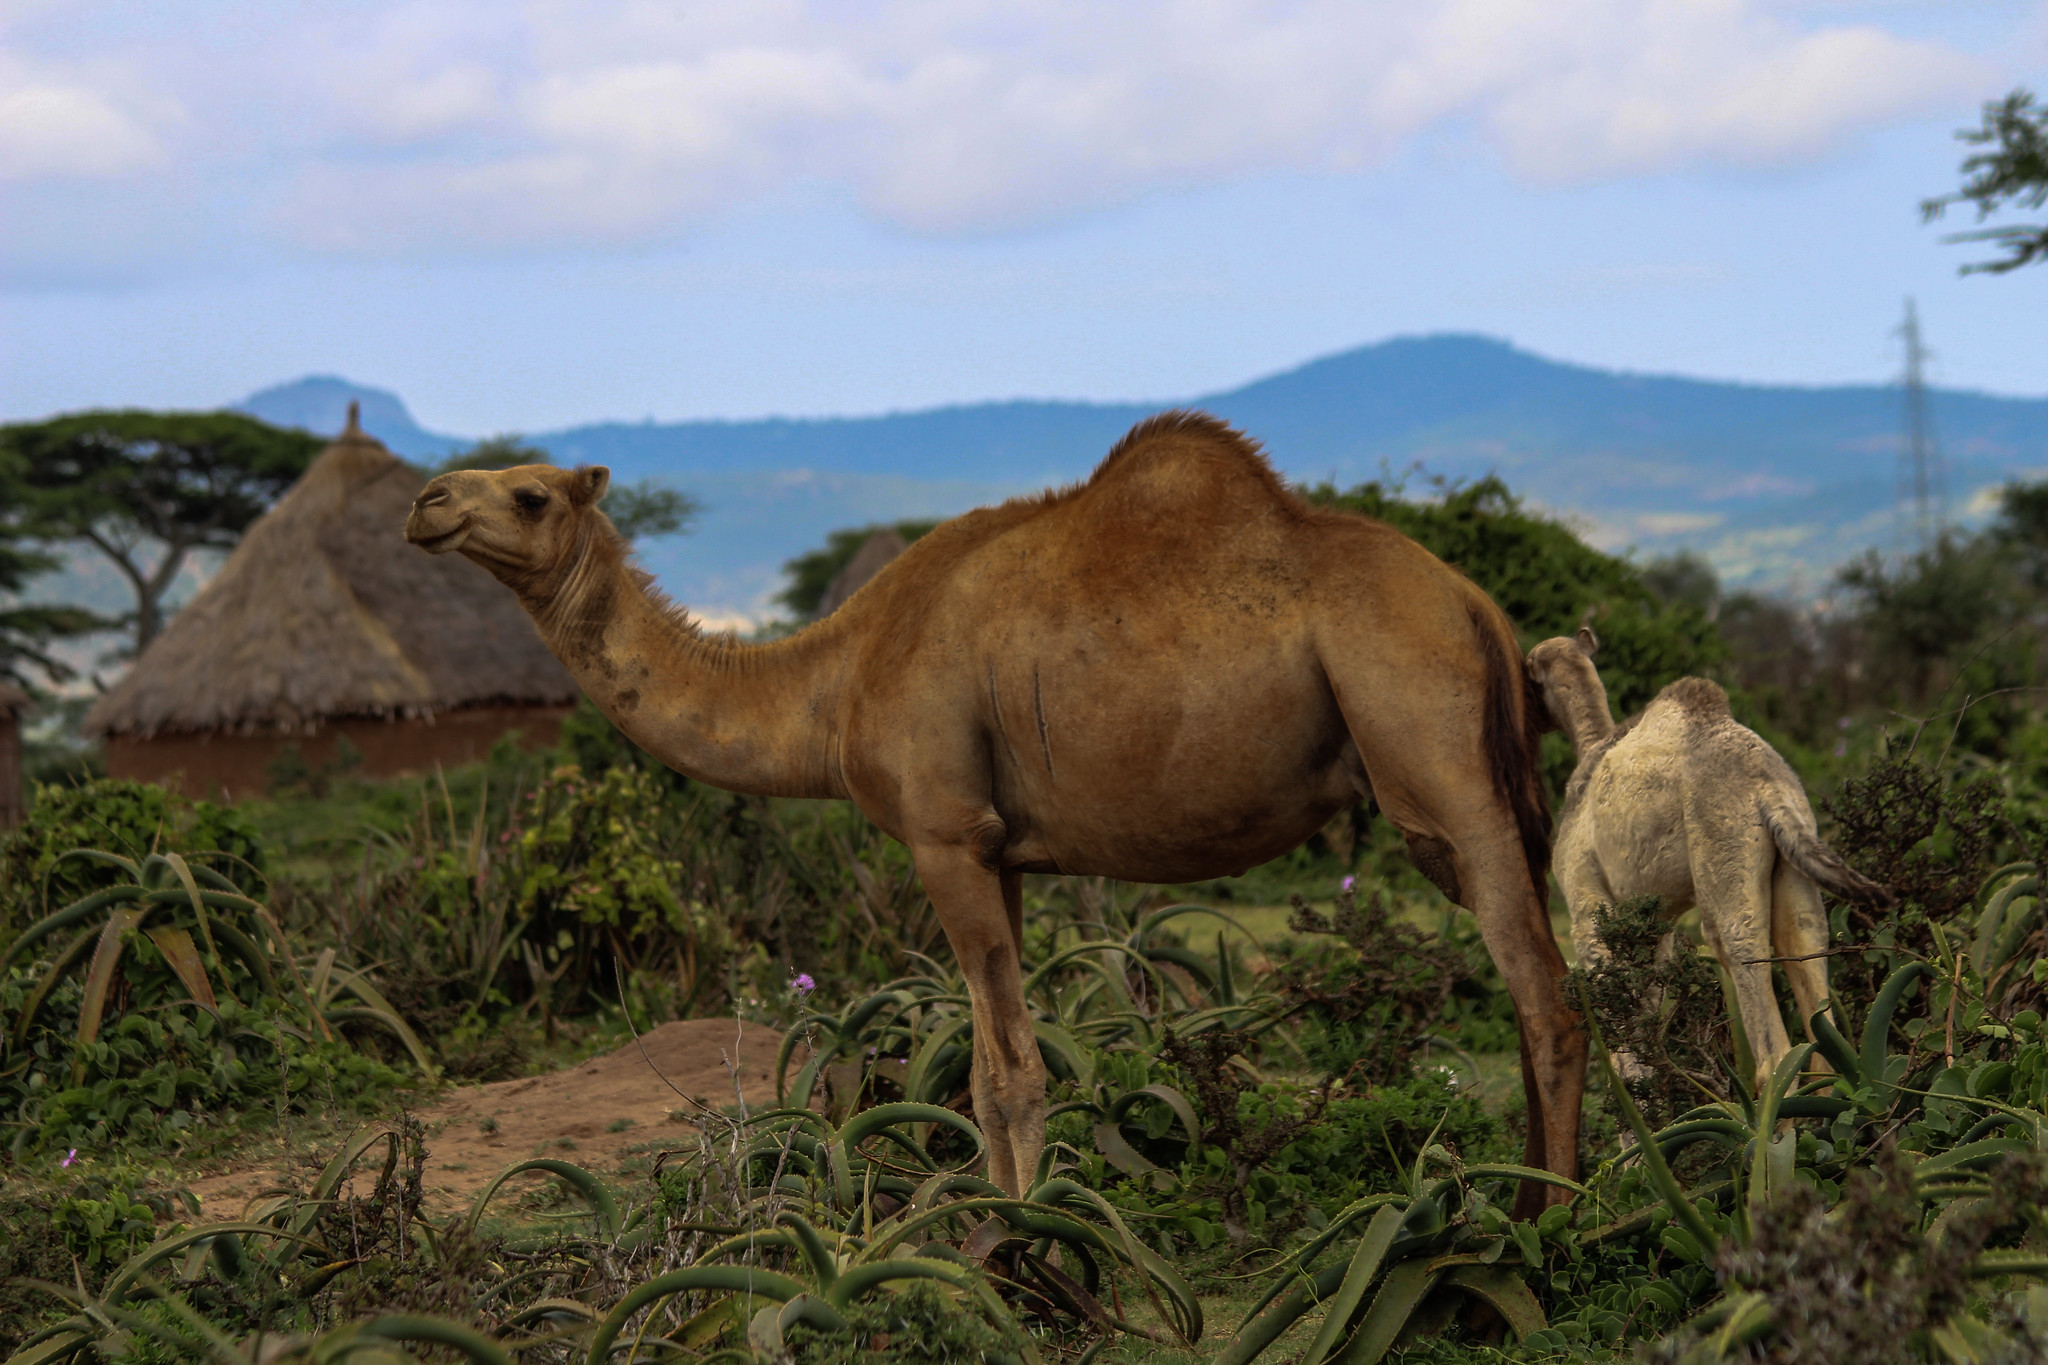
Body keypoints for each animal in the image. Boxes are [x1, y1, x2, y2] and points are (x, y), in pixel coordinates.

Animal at [405, 412, 1583, 1211]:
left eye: (531, 495)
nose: (427, 502)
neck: (836, 678)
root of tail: (1475, 605)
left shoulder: (942, 837)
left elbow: (1013, 1073)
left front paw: (1018, 1253)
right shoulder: (1000, 852)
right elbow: (977, 1070)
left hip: (1433, 755)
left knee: (1543, 995)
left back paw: (1552, 1223)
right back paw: (1520, 1197)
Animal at [1525, 627, 1893, 1089]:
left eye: (1530, 672)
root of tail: (1770, 792)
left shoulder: (1584, 902)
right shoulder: (1654, 925)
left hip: (1723, 857)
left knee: (1767, 1032)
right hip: (1794, 869)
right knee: (1810, 969)